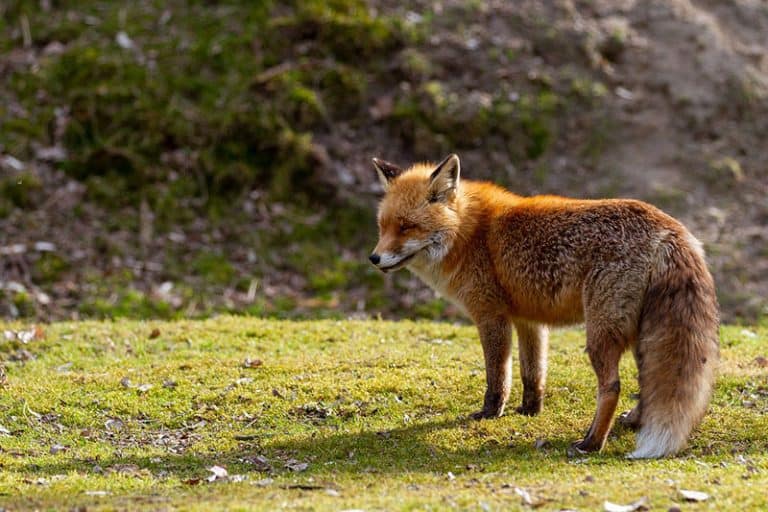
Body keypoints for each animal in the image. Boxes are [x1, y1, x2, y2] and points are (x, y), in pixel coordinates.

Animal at [368, 153, 719, 458]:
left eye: (406, 226)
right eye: (382, 227)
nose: (374, 258)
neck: (468, 233)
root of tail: (670, 227)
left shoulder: (491, 315)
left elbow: (497, 375)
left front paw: (490, 412)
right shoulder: (528, 319)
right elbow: (532, 372)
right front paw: (529, 410)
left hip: (600, 333)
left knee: (612, 387)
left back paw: (592, 443)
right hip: (642, 334)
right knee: (647, 384)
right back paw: (633, 421)